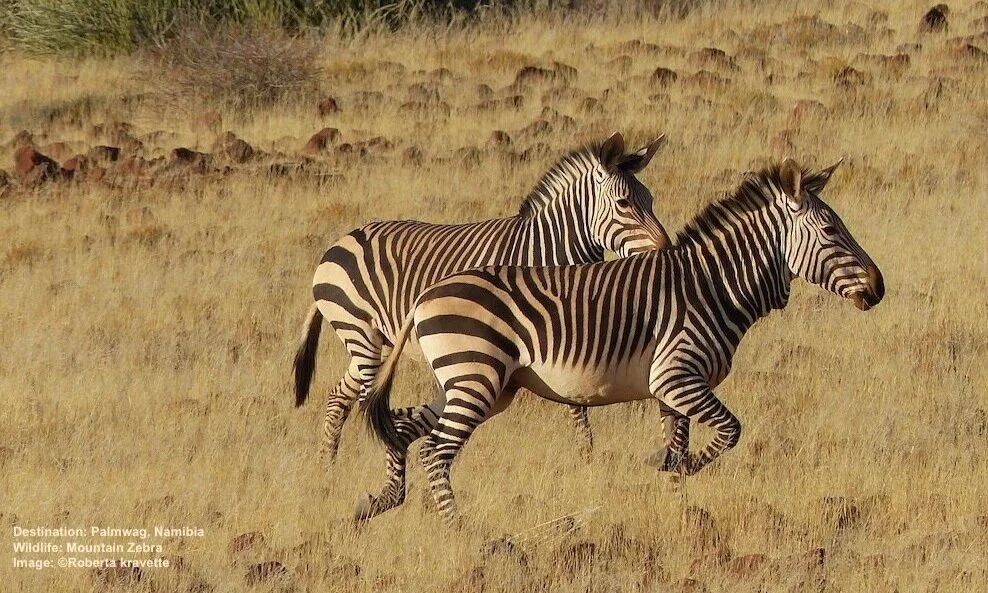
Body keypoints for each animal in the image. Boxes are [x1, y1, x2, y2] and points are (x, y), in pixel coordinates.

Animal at [293, 132, 672, 469]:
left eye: (652, 200)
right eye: (624, 204)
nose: (666, 251)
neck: (547, 252)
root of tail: (339, 241)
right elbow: (576, 403)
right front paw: (586, 455)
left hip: (377, 342)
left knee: (338, 396)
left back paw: (328, 467)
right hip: (361, 333)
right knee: (359, 398)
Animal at [362, 158, 885, 523]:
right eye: (831, 230)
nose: (879, 288)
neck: (711, 286)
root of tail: (424, 296)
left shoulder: (672, 391)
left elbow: (681, 450)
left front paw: (681, 511)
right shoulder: (676, 377)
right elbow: (730, 431)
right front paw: (665, 469)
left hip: (480, 386)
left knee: (403, 426)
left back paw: (378, 503)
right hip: (476, 379)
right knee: (436, 450)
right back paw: (460, 530)